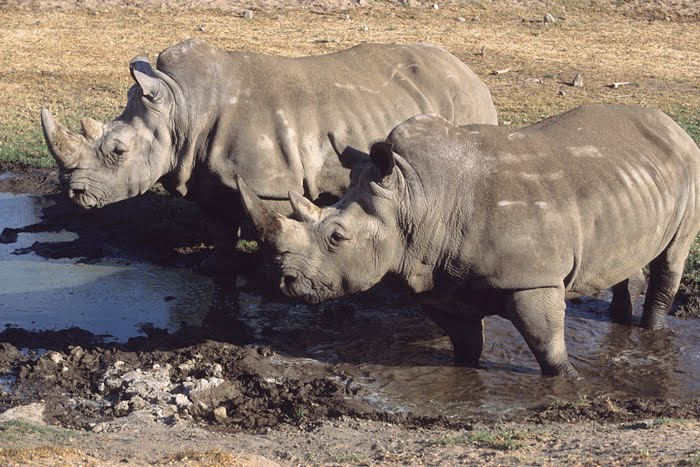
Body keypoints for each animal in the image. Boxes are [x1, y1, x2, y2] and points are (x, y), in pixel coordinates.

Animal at [40, 39, 497, 268]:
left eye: (118, 151)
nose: (73, 193)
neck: (181, 105)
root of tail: (468, 71)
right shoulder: (207, 175)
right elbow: (220, 229)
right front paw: (215, 268)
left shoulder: (270, 185)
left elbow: (267, 224)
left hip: (465, 101)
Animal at [238, 104, 700, 378]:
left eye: (337, 237)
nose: (285, 284)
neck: (416, 195)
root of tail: (670, 125)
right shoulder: (438, 279)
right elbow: (464, 343)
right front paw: (464, 373)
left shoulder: (533, 279)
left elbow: (546, 343)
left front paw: (567, 379)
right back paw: (622, 320)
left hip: (690, 164)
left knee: (672, 256)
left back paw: (650, 330)